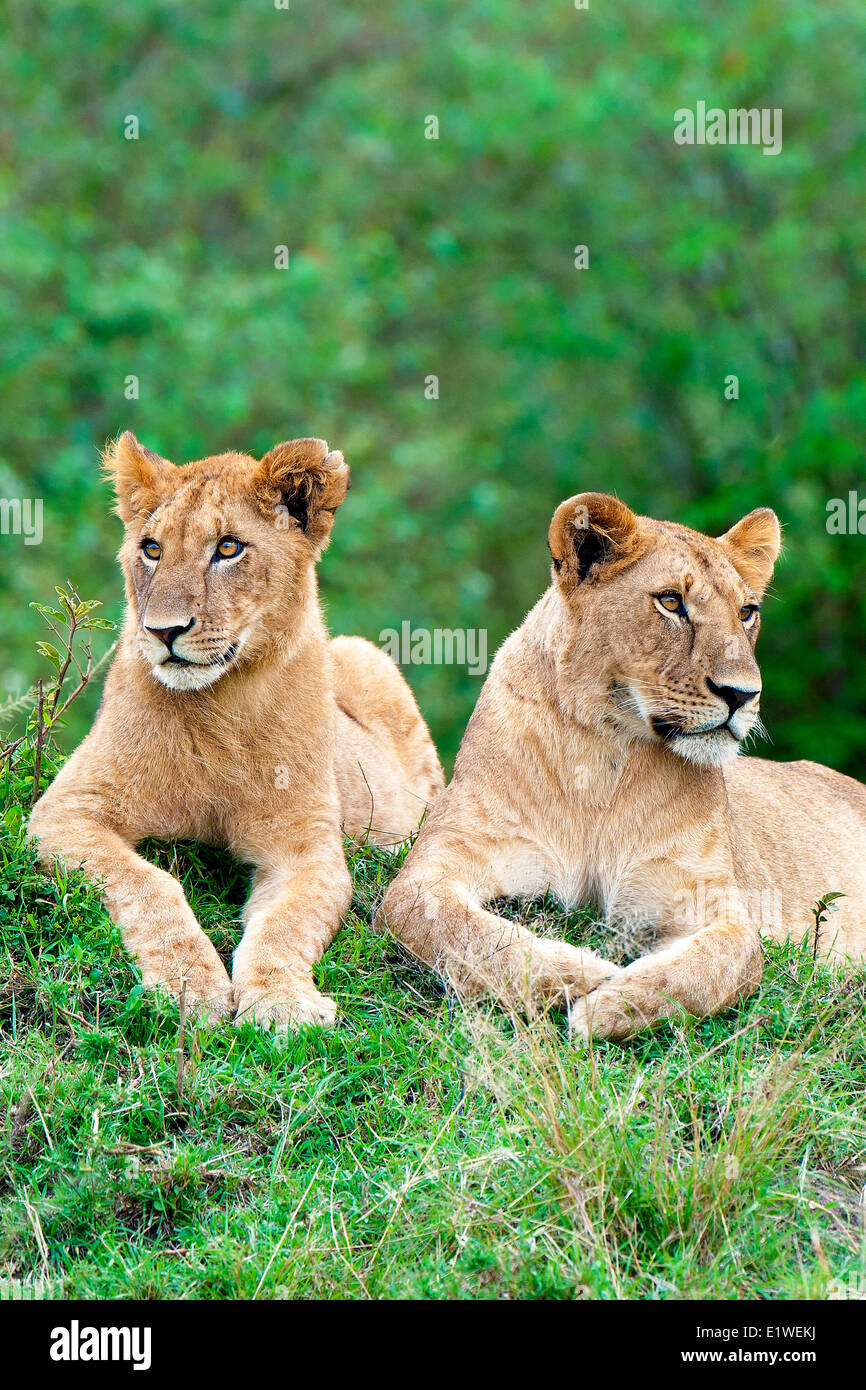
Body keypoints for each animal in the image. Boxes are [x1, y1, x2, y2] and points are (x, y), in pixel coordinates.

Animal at [29, 432, 443, 1030]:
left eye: (228, 548)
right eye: (151, 549)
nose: (164, 631)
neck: (220, 705)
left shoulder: (306, 847)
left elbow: (283, 925)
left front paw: (282, 1005)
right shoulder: (66, 810)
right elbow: (149, 884)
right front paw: (190, 987)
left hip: (368, 658)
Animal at [376, 492, 866, 1041]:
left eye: (746, 612)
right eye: (671, 602)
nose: (743, 694)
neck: (601, 750)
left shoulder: (713, 901)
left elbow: (718, 965)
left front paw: (610, 1005)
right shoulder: (433, 867)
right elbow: (461, 931)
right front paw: (581, 975)